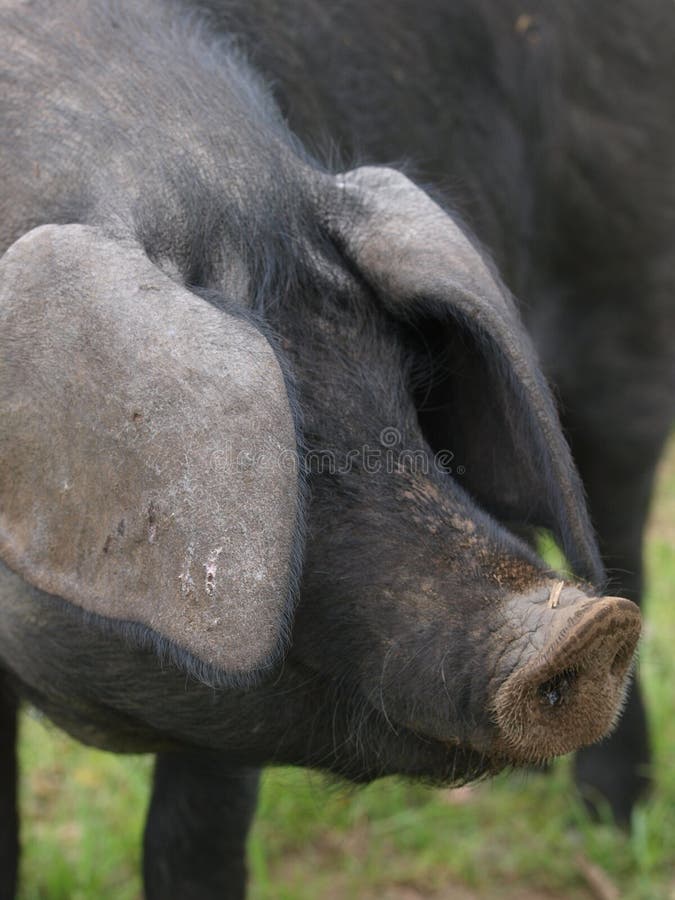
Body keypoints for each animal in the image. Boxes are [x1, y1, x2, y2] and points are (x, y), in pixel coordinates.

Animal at [0, 0, 661, 897]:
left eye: (401, 393)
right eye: (285, 453)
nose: (579, 628)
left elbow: (195, 829)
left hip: (629, 286)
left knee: (622, 522)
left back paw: (604, 826)